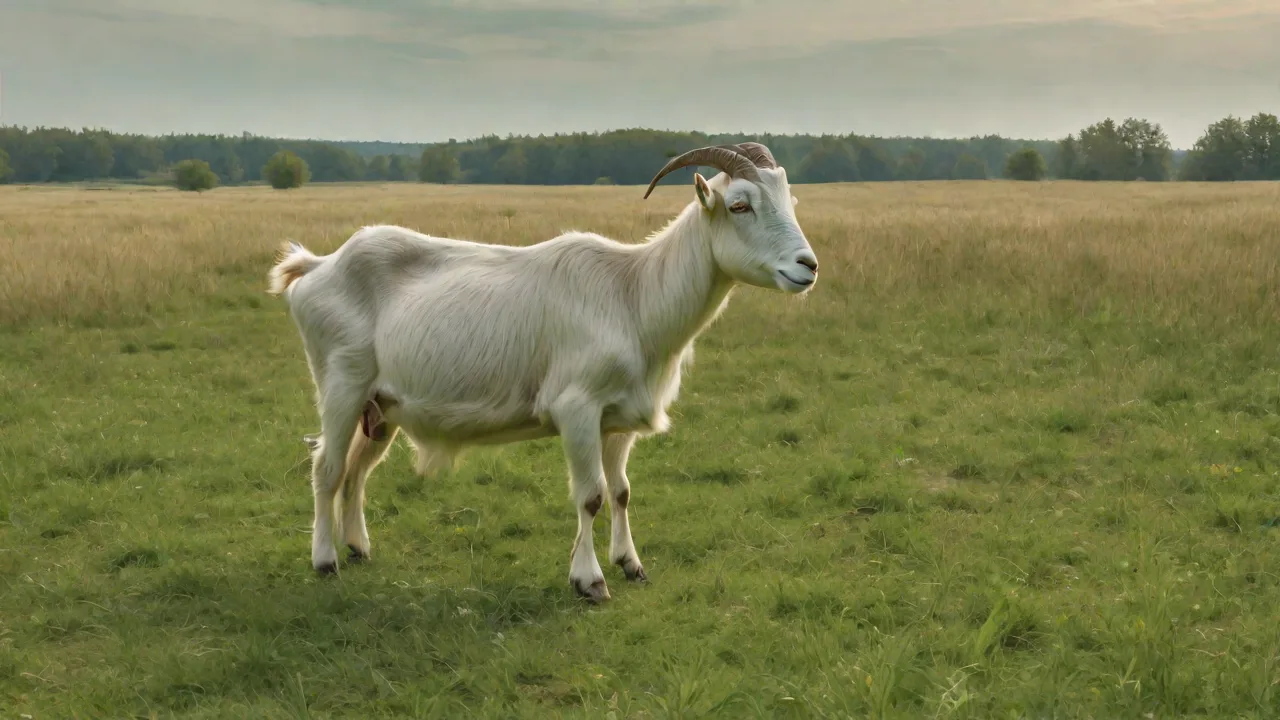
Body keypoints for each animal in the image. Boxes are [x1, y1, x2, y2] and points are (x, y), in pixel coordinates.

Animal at [266, 143, 819, 602]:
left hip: (381, 405)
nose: (807, 265)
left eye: (789, 200)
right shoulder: (577, 408)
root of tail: (317, 266)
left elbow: (621, 491)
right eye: (740, 205)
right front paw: (589, 581)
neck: (632, 295)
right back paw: (325, 561)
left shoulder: (617, 419)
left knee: (357, 470)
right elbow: (591, 496)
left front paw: (631, 564)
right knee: (327, 467)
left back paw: (359, 547)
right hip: (342, 382)